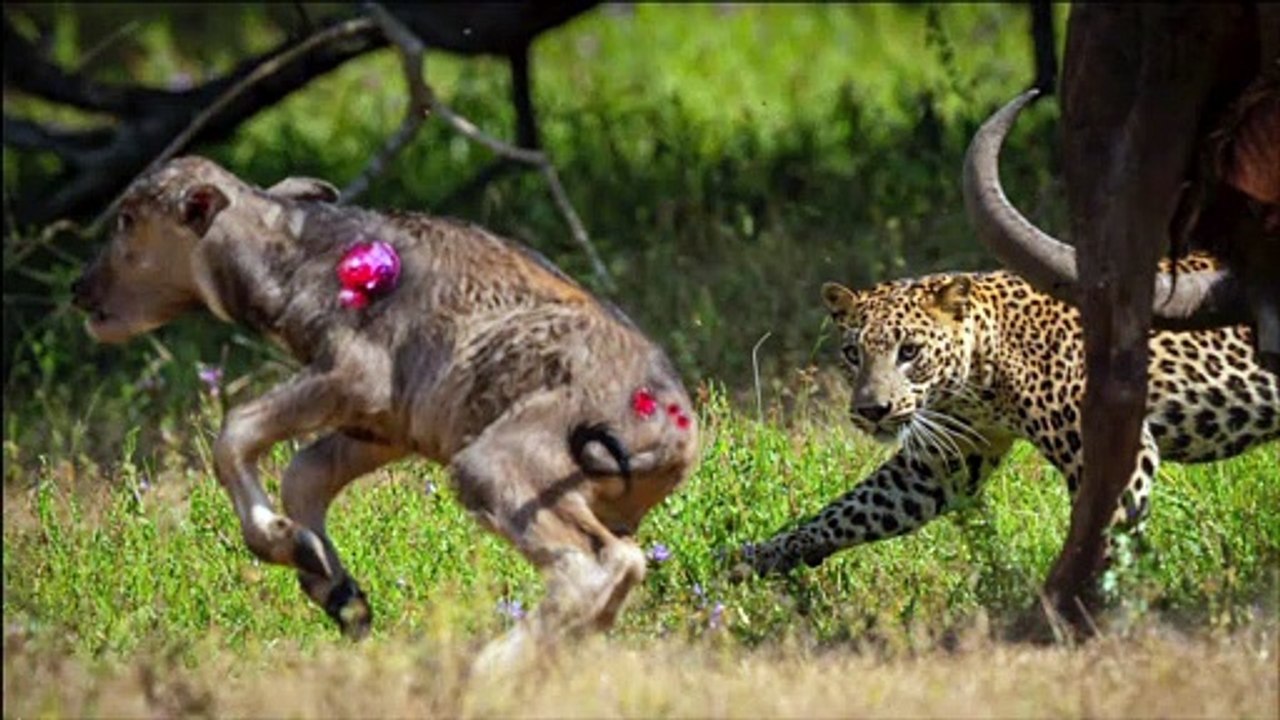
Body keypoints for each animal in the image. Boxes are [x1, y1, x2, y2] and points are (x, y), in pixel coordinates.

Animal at [740, 259, 1278, 577]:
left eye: (909, 351)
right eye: (853, 353)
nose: (871, 411)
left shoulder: (1115, 448)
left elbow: (1100, 532)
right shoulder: (940, 465)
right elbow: (851, 509)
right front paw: (761, 556)